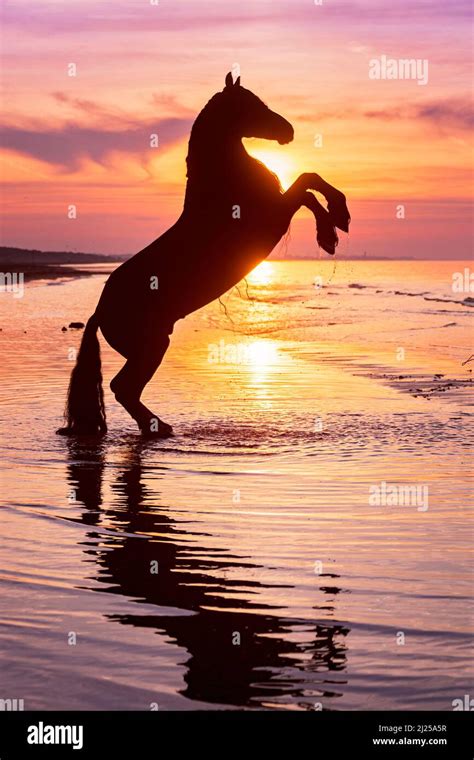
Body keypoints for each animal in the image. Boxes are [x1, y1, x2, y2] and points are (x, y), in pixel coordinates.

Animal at [57, 72, 350, 438]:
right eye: (250, 104)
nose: (288, 131)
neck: (224, 185)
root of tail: (100, 313)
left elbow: (309, 184)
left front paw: (336, 225)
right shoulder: (275, 215)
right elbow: (306, 185)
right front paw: (332, 229)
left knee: (125, 389)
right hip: (151, 346)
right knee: (122, 387)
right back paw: (158, 427)